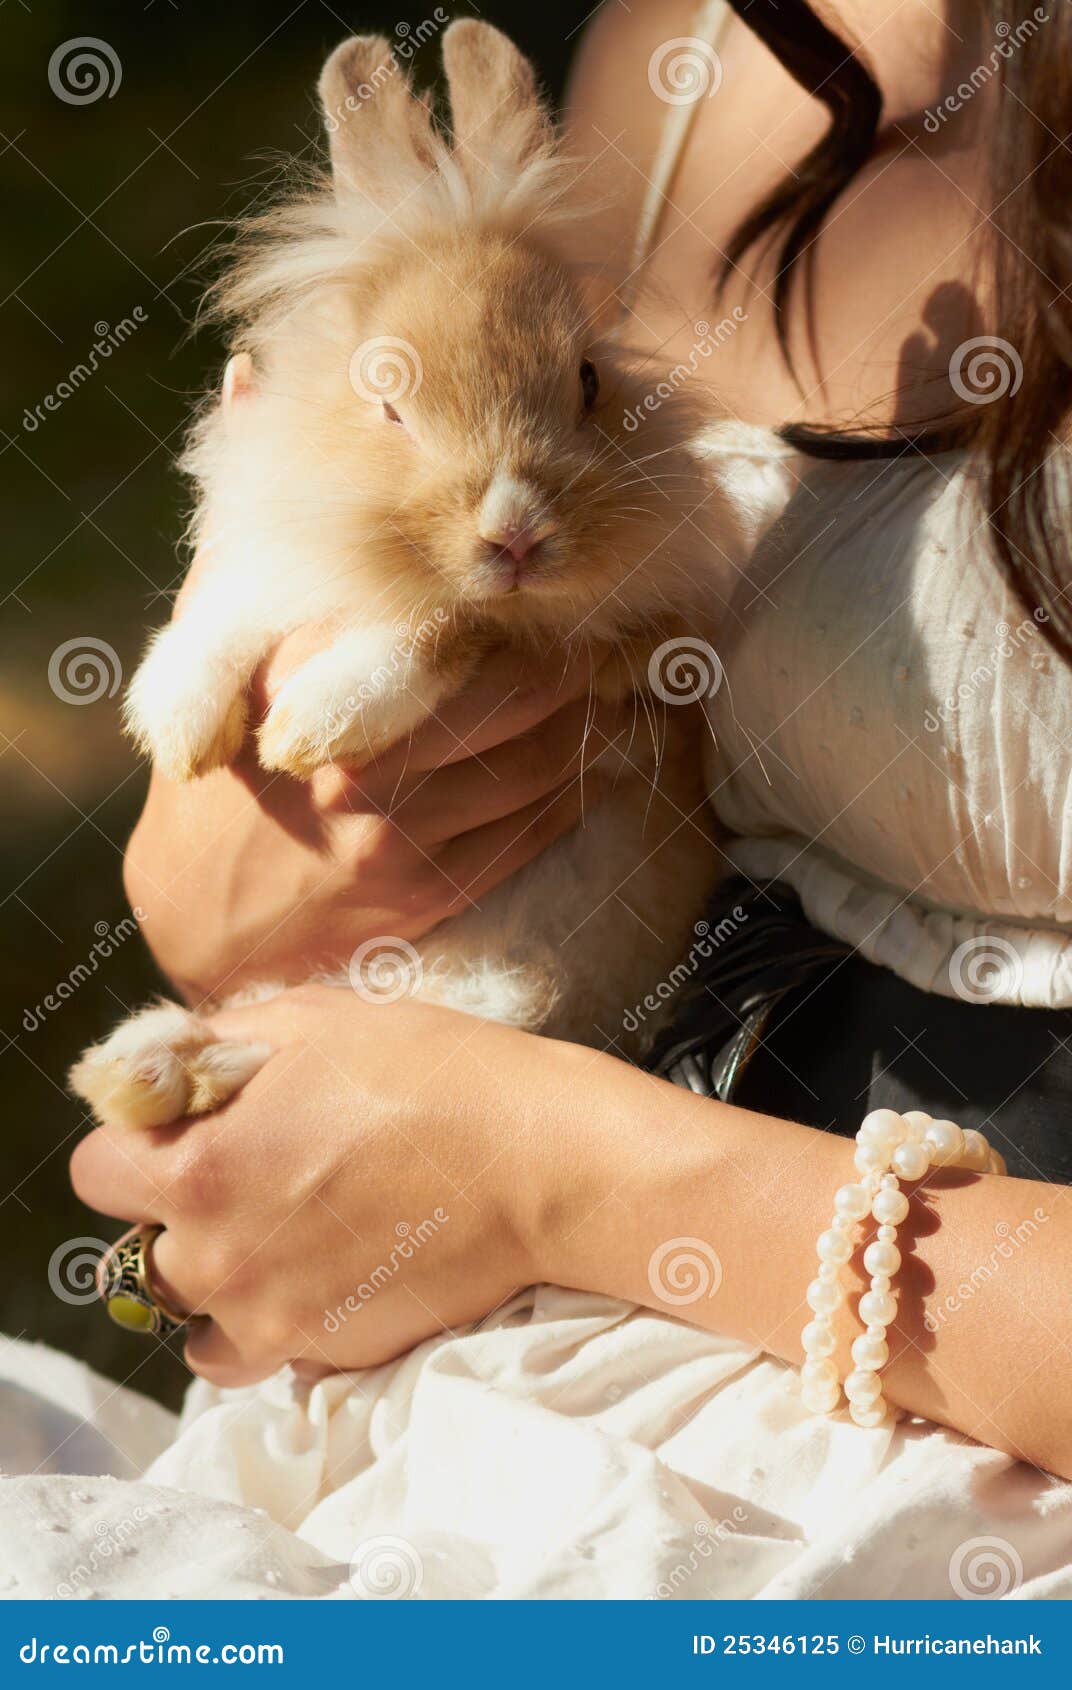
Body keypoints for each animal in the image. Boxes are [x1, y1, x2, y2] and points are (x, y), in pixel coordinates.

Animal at [70, 20, 741, 1133]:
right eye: (384, 396)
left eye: (589, 381)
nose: (516, 532)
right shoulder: (273, 559)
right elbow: (221, 619)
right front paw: (174, 725)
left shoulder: (605, 636)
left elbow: (441, 630)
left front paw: (313, 724)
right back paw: (142, 1068)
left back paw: (157, 1071)